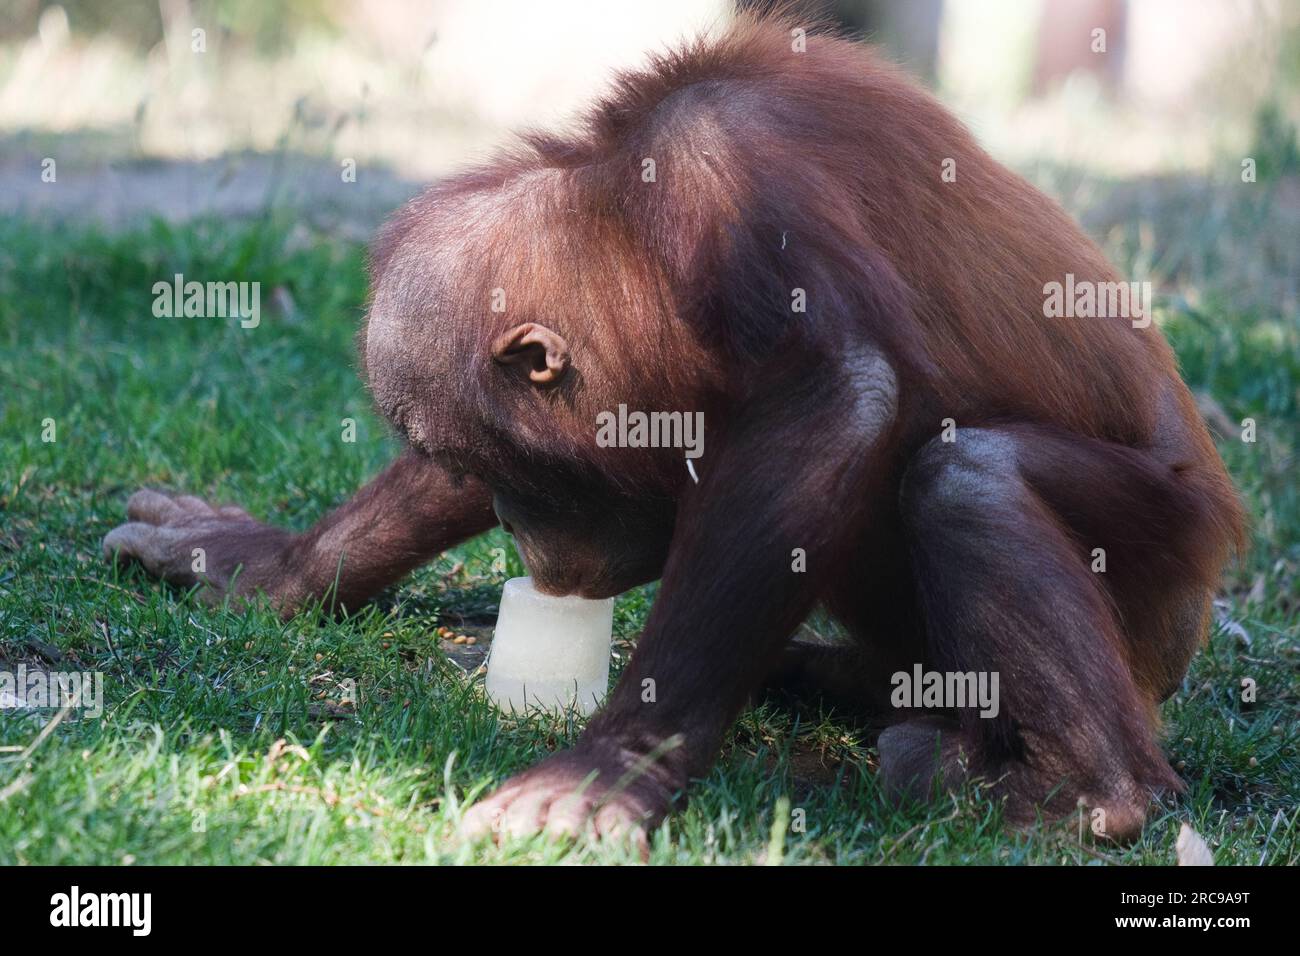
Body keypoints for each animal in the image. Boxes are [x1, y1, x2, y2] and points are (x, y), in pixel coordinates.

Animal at [104, 13, 1242, 846]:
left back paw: (1084, 791)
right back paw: (850, 684)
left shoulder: (730, 184)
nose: (518, 532)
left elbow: (835, 398)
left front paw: (612, 768)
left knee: (967, 475)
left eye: (509, 469)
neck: (630, 221)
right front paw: (261, 561)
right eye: (463, 463)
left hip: (1165, 579)